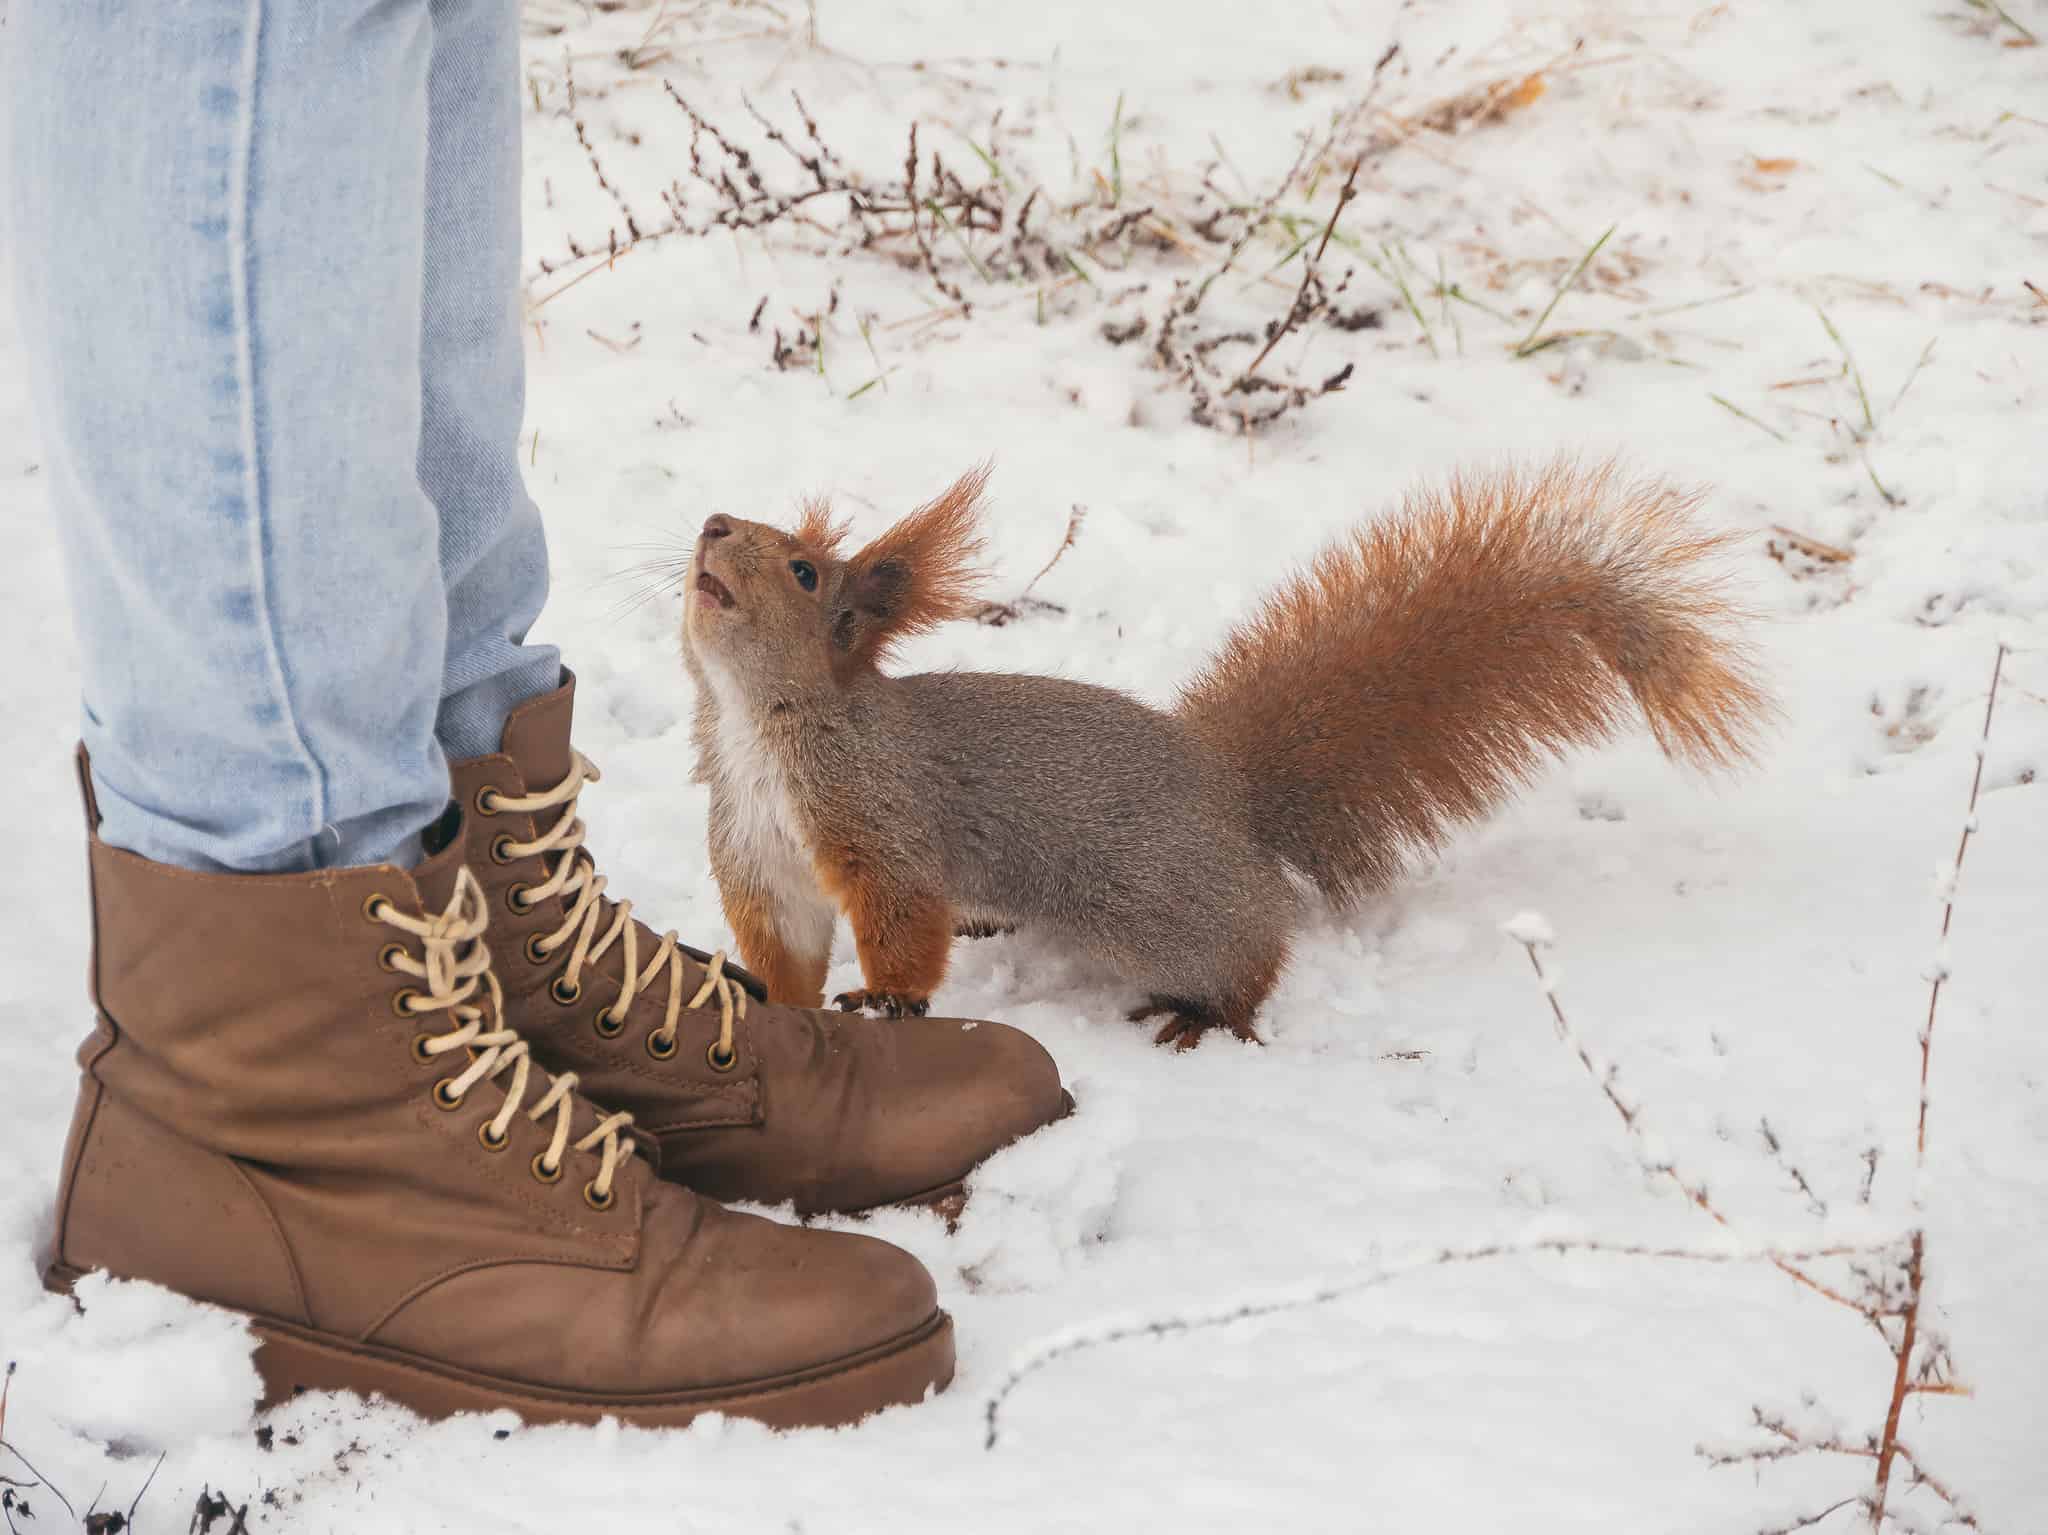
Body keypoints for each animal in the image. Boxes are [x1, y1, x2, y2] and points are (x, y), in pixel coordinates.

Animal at [680, 461, 1769, 1048]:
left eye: (802, 570)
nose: (711, 520)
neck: (756, 724)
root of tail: (1228, 790)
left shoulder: (883, 818)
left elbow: (903, 920)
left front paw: (890, 998)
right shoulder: (759, 858)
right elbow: (786, 947)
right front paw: (764, 1000)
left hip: (1157, 903)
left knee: (1251, 949)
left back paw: (1207, 1014)